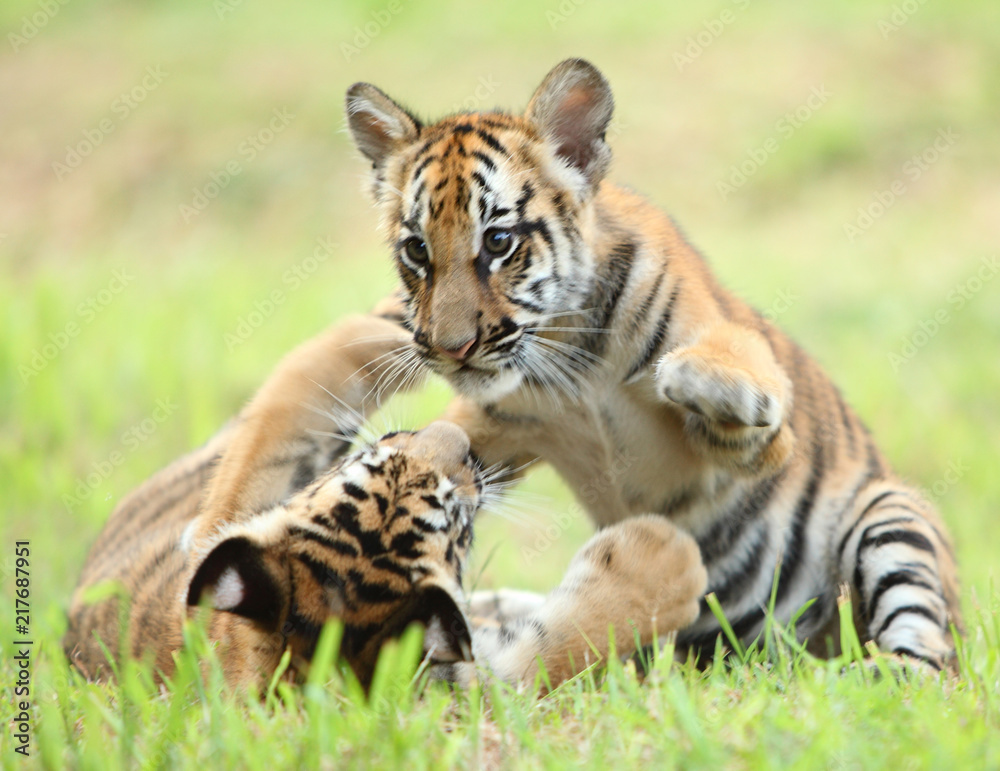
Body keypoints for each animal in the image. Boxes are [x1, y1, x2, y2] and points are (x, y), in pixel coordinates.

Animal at [102, 58, 961, 677]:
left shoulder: (749, 444)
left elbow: (729, 371)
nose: (450, 346)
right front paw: (219, 532)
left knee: (929, 663)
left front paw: (695, 378)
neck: (574, 353)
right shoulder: (486, 428)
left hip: (891, 518)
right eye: (416, 249)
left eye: (500, 241)